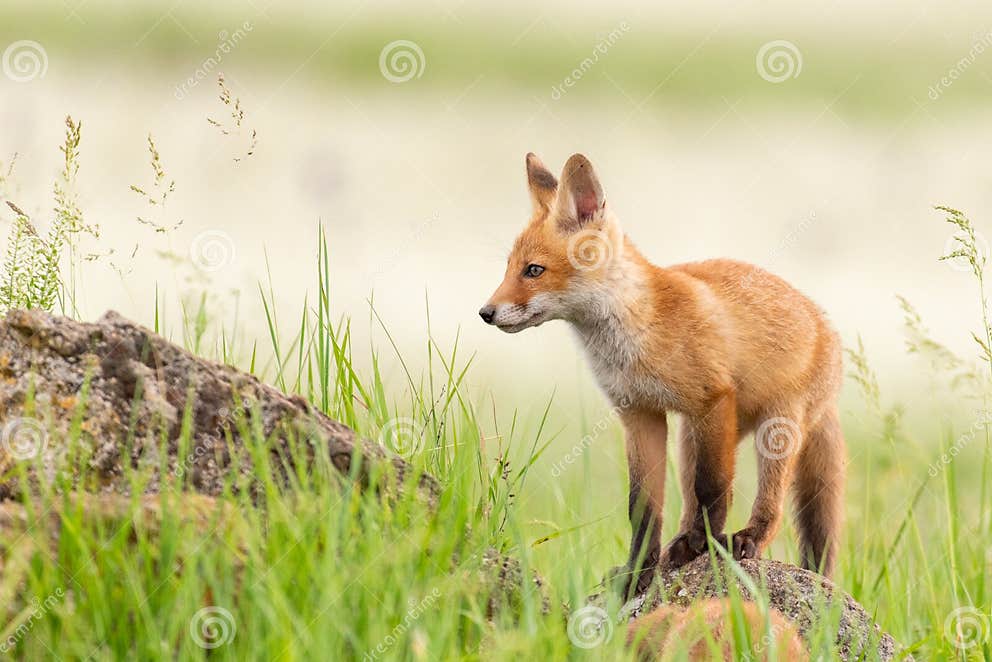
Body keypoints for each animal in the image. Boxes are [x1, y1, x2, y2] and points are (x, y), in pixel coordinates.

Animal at [479, 153, 845, 595]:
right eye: (509, 268)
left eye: (533, 270)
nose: (485, 312)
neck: (636, 336)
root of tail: (828, 329)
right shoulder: (639, 414)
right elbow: (644, 506)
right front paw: (638, 571)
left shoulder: (712, 398)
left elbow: (712, 487)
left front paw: (709, 547)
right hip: (694, 436)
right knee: (689, 500)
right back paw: (682, 544)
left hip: (774, 430)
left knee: (769, 504)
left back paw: (747, 538)